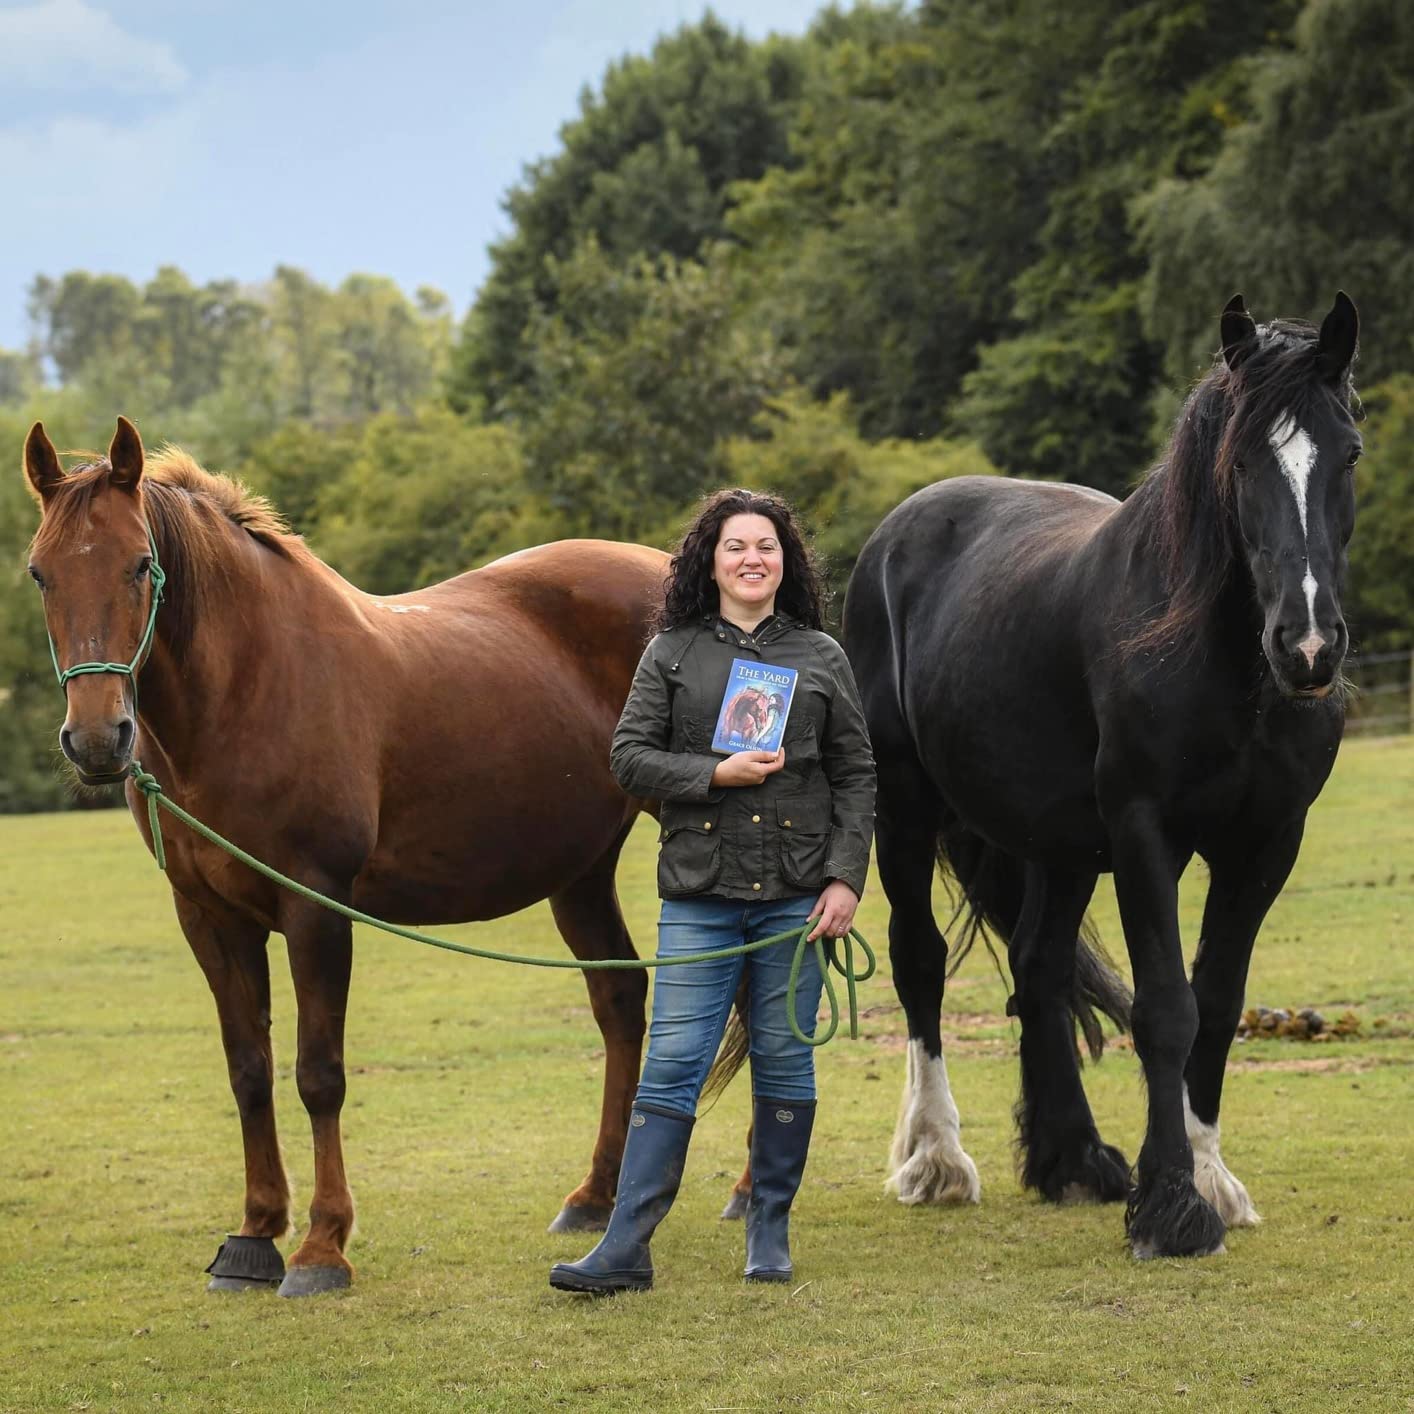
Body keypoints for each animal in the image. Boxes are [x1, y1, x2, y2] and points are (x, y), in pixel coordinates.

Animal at [23, 416, 671, 1295]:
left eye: (139, 565)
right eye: (40, 574)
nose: (96, 740)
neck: (247, 689)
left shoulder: (315, 908)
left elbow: (318, 1073)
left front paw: (322, 1246)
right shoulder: (209, 917)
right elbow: (249, 1069)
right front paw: (255, 1235)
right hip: (580, 872)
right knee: (620, 1000)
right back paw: (596, 1198)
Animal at [842, 292, 1360, 1259]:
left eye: (1347, 453)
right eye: (1240, 461)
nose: (1307, 646)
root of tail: (898, 531)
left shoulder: (1265, 842)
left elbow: (1218, 1003)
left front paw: (1206, 1177)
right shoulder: (1143, 831)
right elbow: (1166, 1008)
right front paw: (1173, 1206)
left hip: (1060, 846)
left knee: (1038, 967)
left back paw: (1073, 1160)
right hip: (905, 812)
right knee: (919, 963)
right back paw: (937, 1160)